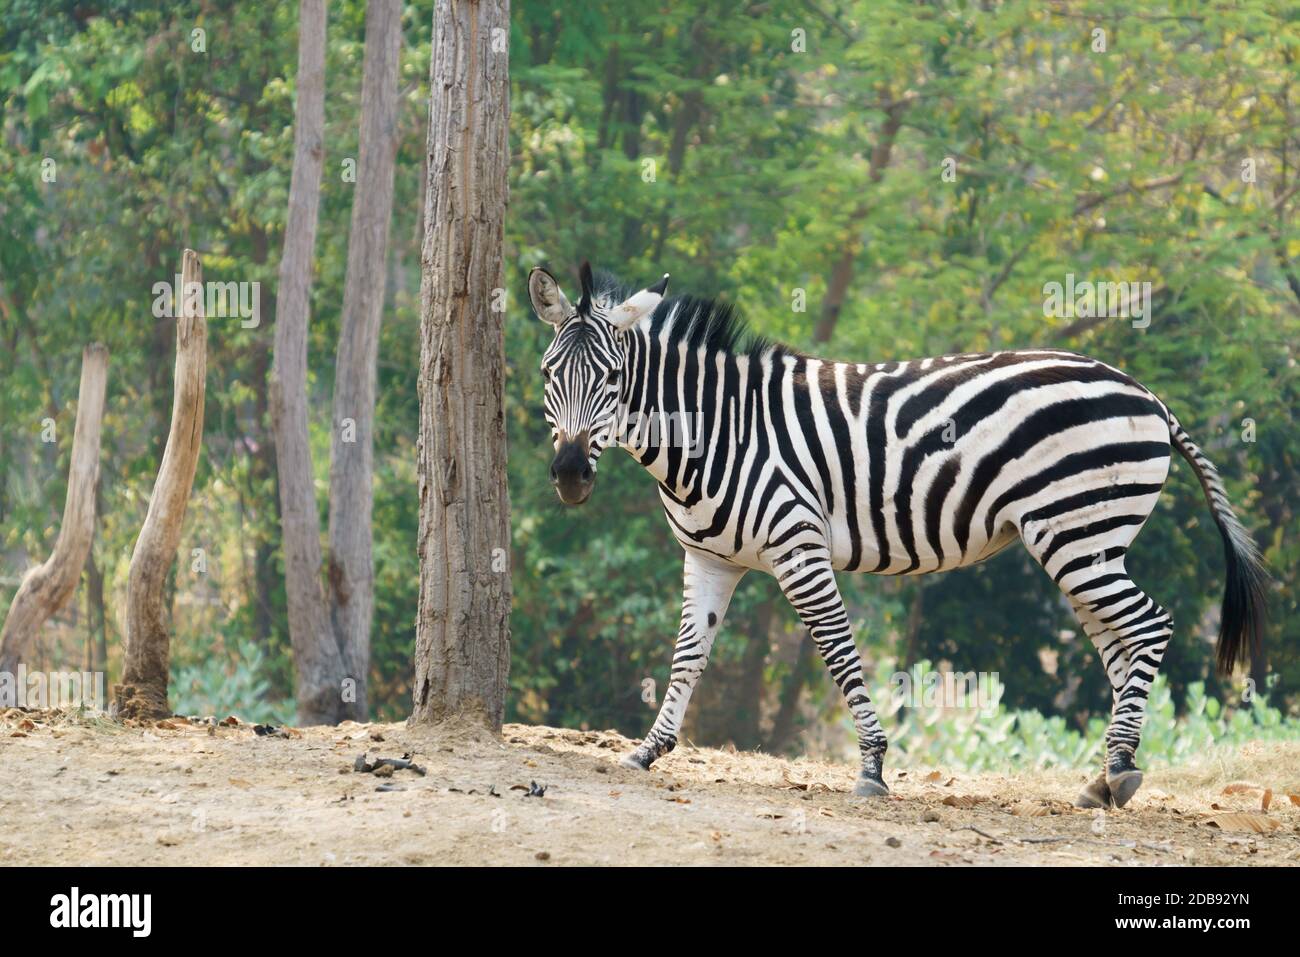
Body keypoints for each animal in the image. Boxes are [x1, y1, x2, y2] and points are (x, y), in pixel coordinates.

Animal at [527, 261, 1269, 809]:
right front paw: (648, 750)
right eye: (547, 375)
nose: (568, 476)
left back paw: (1116, 768)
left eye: (612, 378)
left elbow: (839, 653)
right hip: (1087, 541)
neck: (718, 431)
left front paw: (873, 768)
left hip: (1075, 534)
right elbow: (687, 656)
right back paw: (1108, 772)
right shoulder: (709, 558)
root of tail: (1146, 394)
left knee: (1148, 626)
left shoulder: (799, 548)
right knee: (1120, 644)